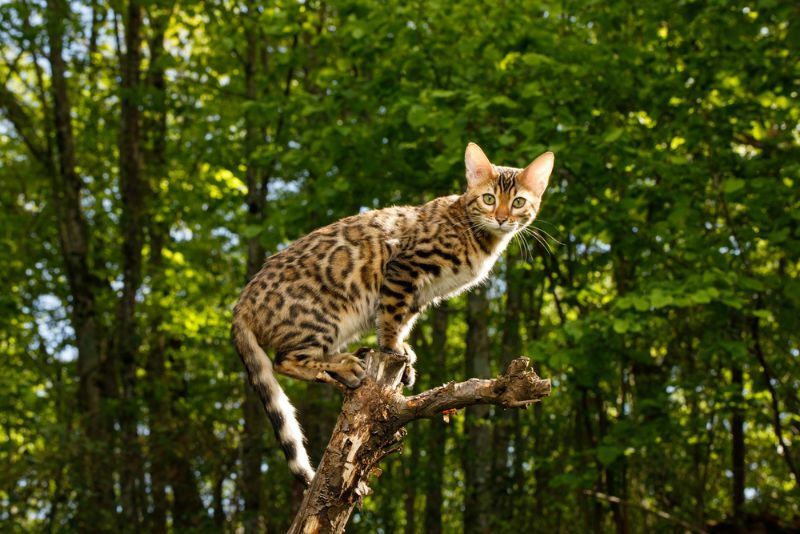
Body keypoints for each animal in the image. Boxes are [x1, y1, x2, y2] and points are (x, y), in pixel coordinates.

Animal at [234, 142, 552, 486]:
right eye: (489, 198)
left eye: (518, 201)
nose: (502, 218)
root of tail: (241, 302)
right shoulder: (404, 267)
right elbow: (390, 316)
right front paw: (391, 348)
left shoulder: (421, 294)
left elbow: (403, 320)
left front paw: (404, 354)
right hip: (323, 316)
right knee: (285, 361)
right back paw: (345, 365)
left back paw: (354, 356)